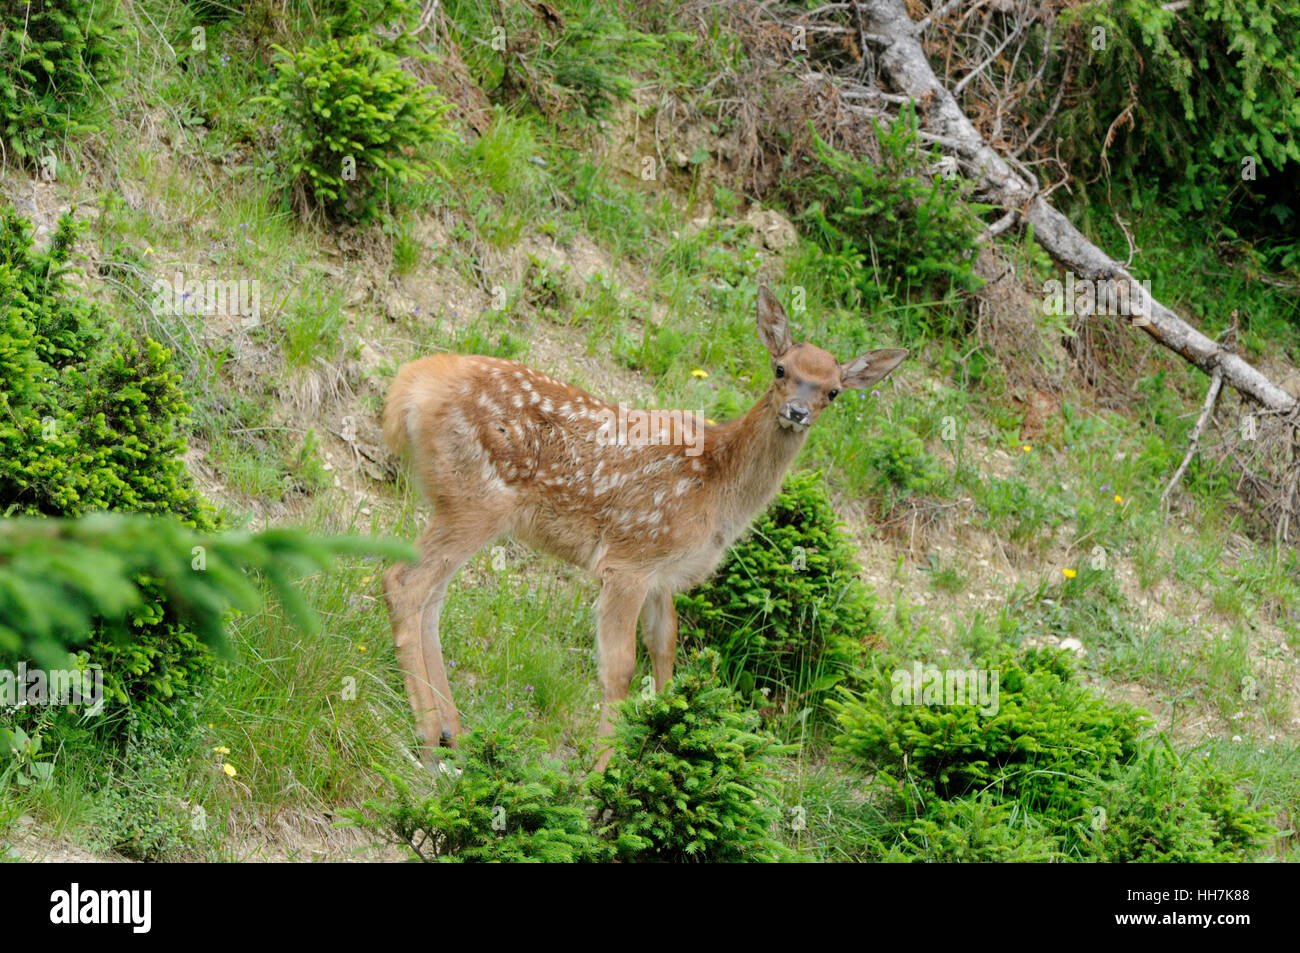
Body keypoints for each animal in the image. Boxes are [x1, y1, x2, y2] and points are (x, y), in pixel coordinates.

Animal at [381, 286, 907, 768]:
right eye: (781, 369)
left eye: (833, 391)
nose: (797, 412)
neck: (717, 488)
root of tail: (413, 385)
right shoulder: (630, 559)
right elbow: (620, 670)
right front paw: (599, 778)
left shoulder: (664, 576)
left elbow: (665, 656)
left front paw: (663, 751)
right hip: (476, 500)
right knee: (403, 582)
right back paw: (427, 735)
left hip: (465, 506)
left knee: (432, 599)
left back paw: (454, 733)